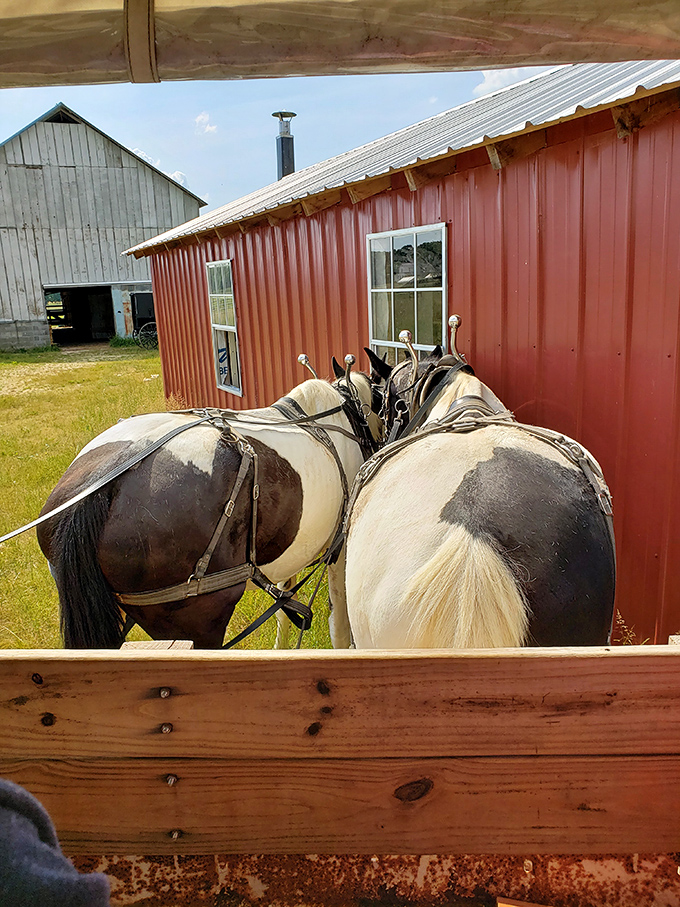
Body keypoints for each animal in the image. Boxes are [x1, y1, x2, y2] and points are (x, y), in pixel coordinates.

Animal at [37, 367, 382, 650]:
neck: (337, 420)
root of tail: (104, 481)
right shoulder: (339, 549)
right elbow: (339, 622)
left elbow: (285, 608)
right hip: (198, 619)